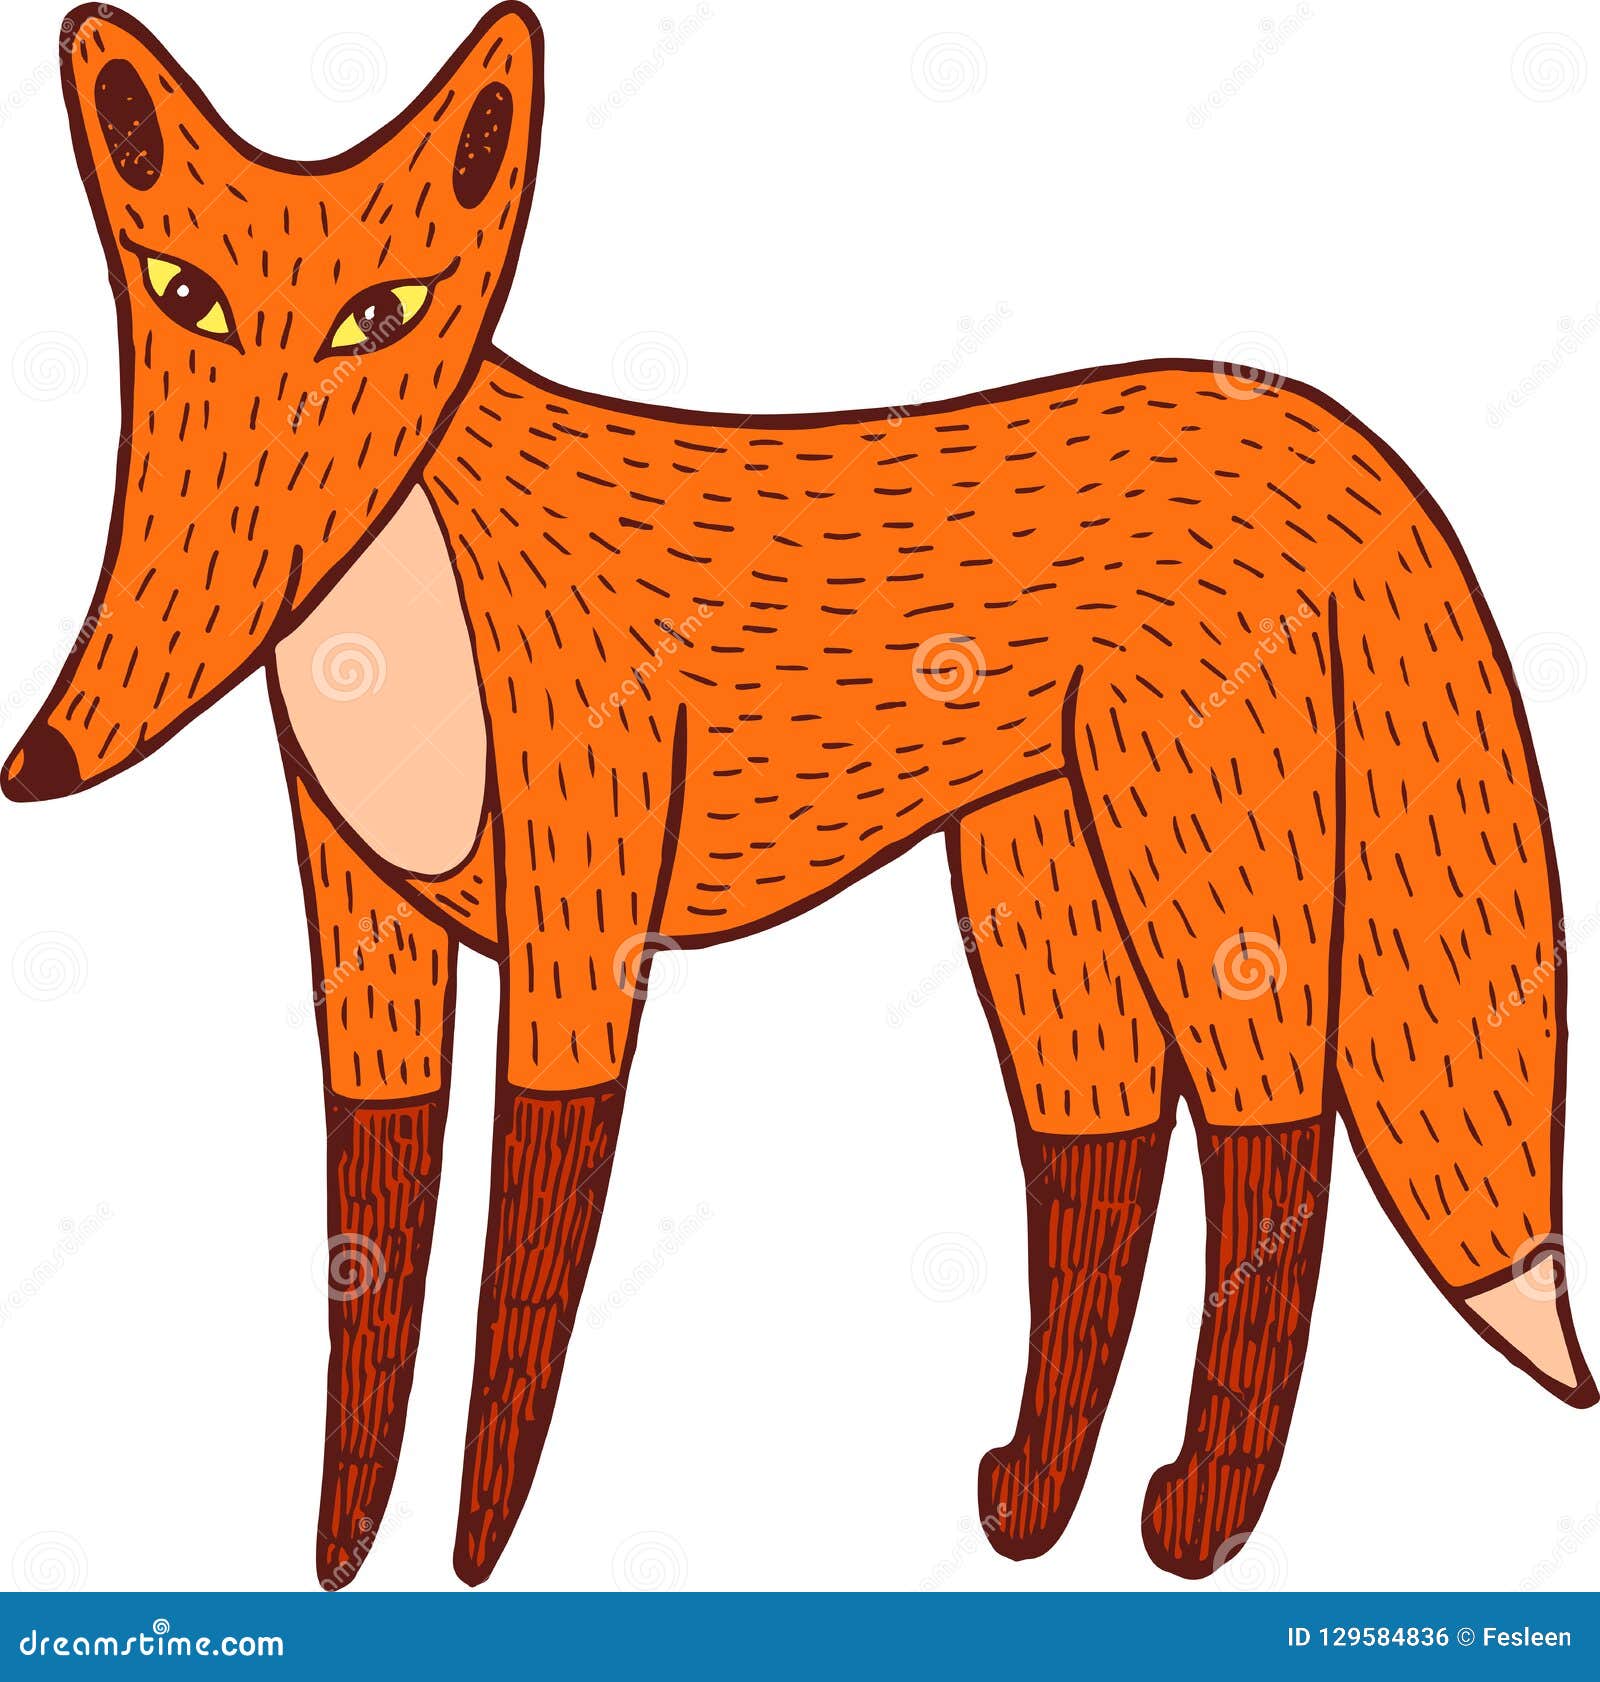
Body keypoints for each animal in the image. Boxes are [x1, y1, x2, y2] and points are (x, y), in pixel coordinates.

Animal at [4, 3, 1592, 1590]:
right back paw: (1037, 1499)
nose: (36, 764)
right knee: (1106, 1148)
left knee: (1274, 1146)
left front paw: (473, 1548)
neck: (396, 628)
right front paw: (343, 1549)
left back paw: (1205, 1511)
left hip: (1208, 878)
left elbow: (520, 1281)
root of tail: (1319, 424)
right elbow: (368, 1273)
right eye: (186, 296)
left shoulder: (581, 923)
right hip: (1039, 892)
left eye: (381, 315)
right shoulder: (369, 933)